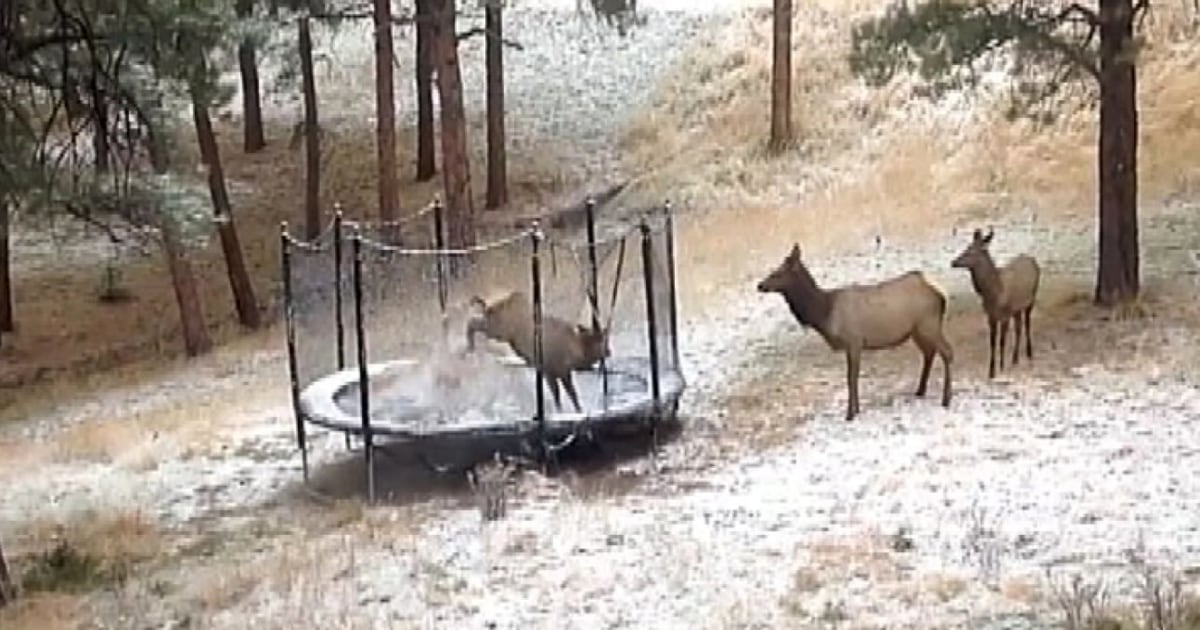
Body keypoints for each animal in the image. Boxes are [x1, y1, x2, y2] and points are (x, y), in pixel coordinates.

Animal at [466, 290, 611, 414]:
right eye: (601, 340)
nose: (609, 351)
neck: (578, 349)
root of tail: (490, 304)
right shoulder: (556, 370)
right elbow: (568, 394)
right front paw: (576, 411)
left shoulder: (551, 371)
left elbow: (560, 395)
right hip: (498, 329)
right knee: (472, 321)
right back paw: (470, 346)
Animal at [757, 243, 954, 421]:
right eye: (774, 269)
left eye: (779, 272)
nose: (760, 285)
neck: (825, 314)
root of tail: (940, 296)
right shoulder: (853, 345)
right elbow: (854, 377)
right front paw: (857, 409)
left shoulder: (853, 341)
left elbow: (850, 377)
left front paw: (850, 414)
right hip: (917, 330)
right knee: (929, 353)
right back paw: (920, 390)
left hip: (928, 324)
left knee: (947, 352)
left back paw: (946, 399)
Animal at [950, 228, 1041, 379]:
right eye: (967, 247)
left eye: (971, 251)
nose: (953, 262)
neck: (994, 293)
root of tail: (1032, 260)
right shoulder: (990, 316)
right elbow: (992, 343)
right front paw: (991, 371)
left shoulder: (1005, 315)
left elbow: (1002, 342)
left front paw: (1001, 367)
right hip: (1016, 309)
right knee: (1019, 328)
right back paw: (1015, 359)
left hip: (1031, 299)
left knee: (1027, 324)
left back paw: (1029, 354)